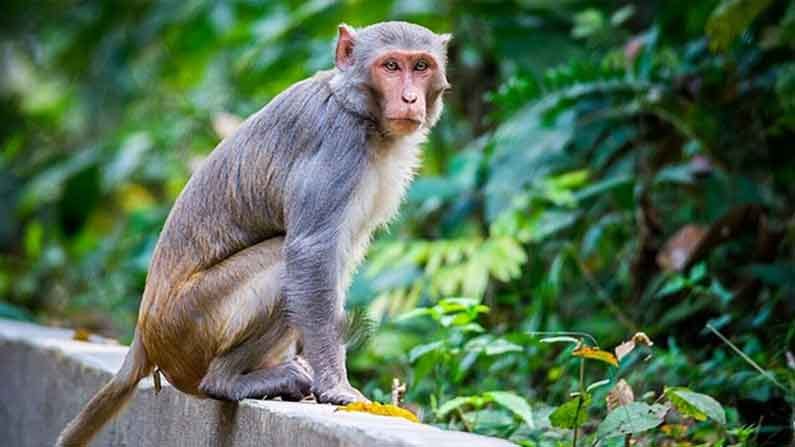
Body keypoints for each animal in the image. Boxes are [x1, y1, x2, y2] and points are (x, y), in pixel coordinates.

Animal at [55, 21, 450, 446]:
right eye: (390, 66)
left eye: (421, 66)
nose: (410, 98)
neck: (360, 112)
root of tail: (145, 336)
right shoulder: (339, 145)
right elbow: (311, 252)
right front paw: (335, 385)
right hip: (192, 324)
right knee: (281, 259)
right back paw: (228, 381)